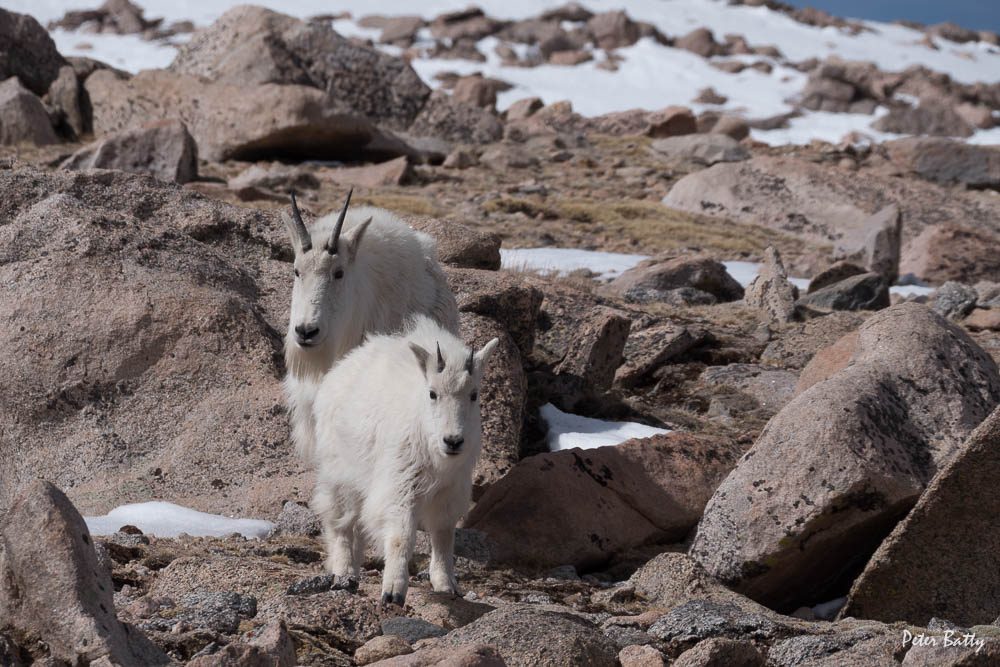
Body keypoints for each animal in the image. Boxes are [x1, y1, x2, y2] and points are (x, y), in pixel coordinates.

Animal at [311, 314, 498, 604]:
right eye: (432, 393)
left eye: (474, 394)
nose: (453, 441)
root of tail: (341, 369)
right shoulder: (401, 483)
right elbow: (401, 536)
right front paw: (393, 591)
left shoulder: (450, 491)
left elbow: (444, 535)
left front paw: (447, 585)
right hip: (340, 474)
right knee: (340, 521)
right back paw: (343, 572)